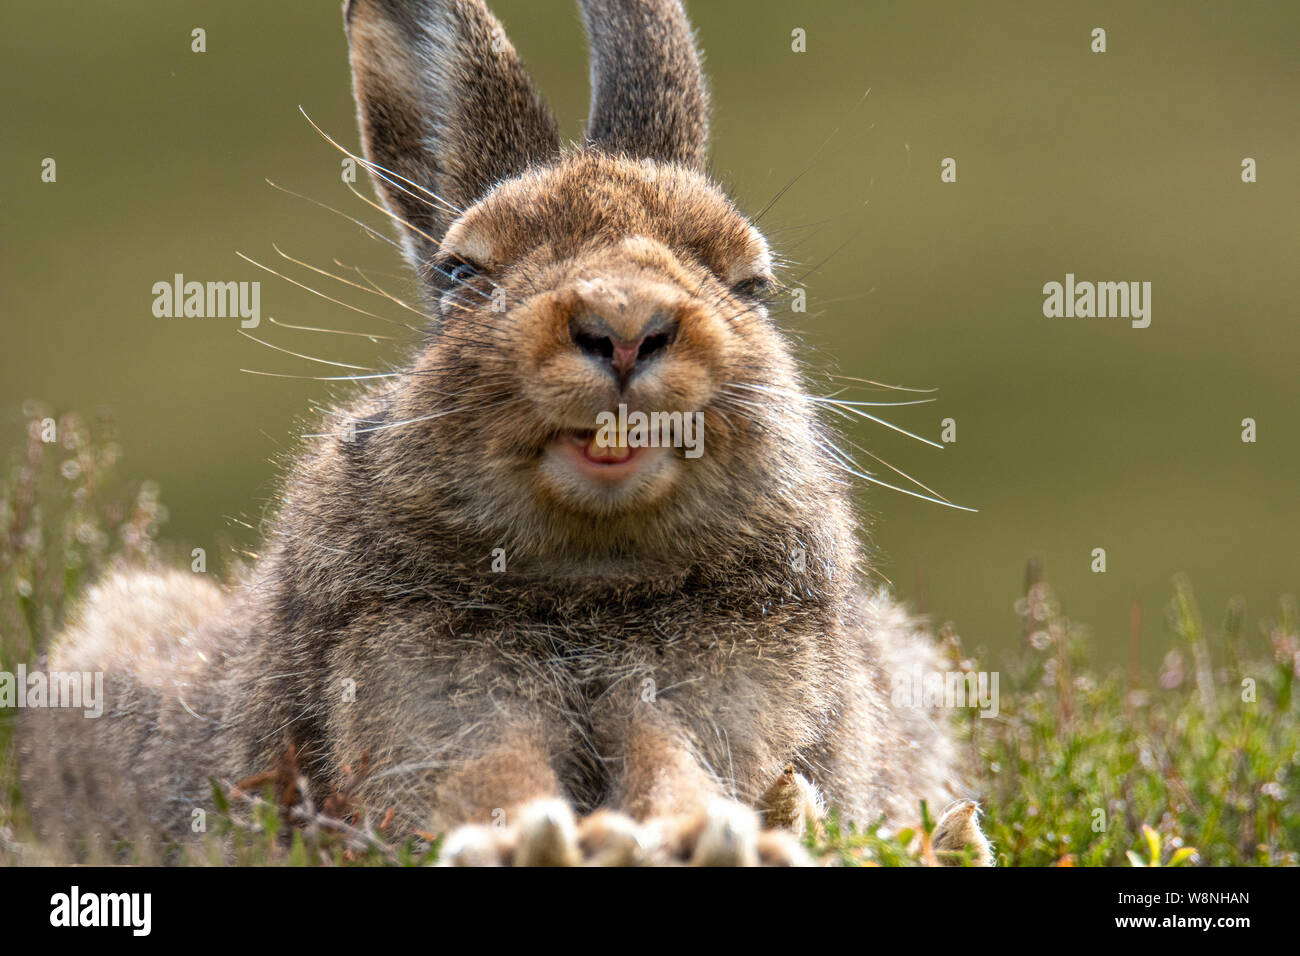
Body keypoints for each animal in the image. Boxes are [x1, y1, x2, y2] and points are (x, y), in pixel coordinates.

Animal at [18, 0, 991, 866]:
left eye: (751, 284)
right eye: (463, 272)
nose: (625, 323)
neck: (590, 573)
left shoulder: (729, 696)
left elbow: (683, 767)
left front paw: (703, 838)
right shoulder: (414, 685)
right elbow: (488, 772)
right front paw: (533, 838)